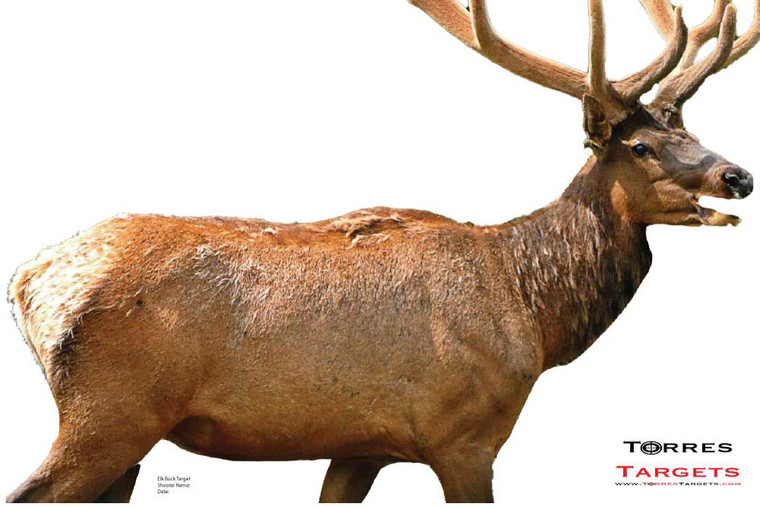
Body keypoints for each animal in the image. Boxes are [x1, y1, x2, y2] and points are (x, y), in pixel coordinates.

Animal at [5, 0, 758, 503]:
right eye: (641, 146)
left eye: (692, 129)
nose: (737, 176)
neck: (535, 315)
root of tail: (27, 282)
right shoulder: (463, 435)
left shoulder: (360, 445)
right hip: (108, 415)